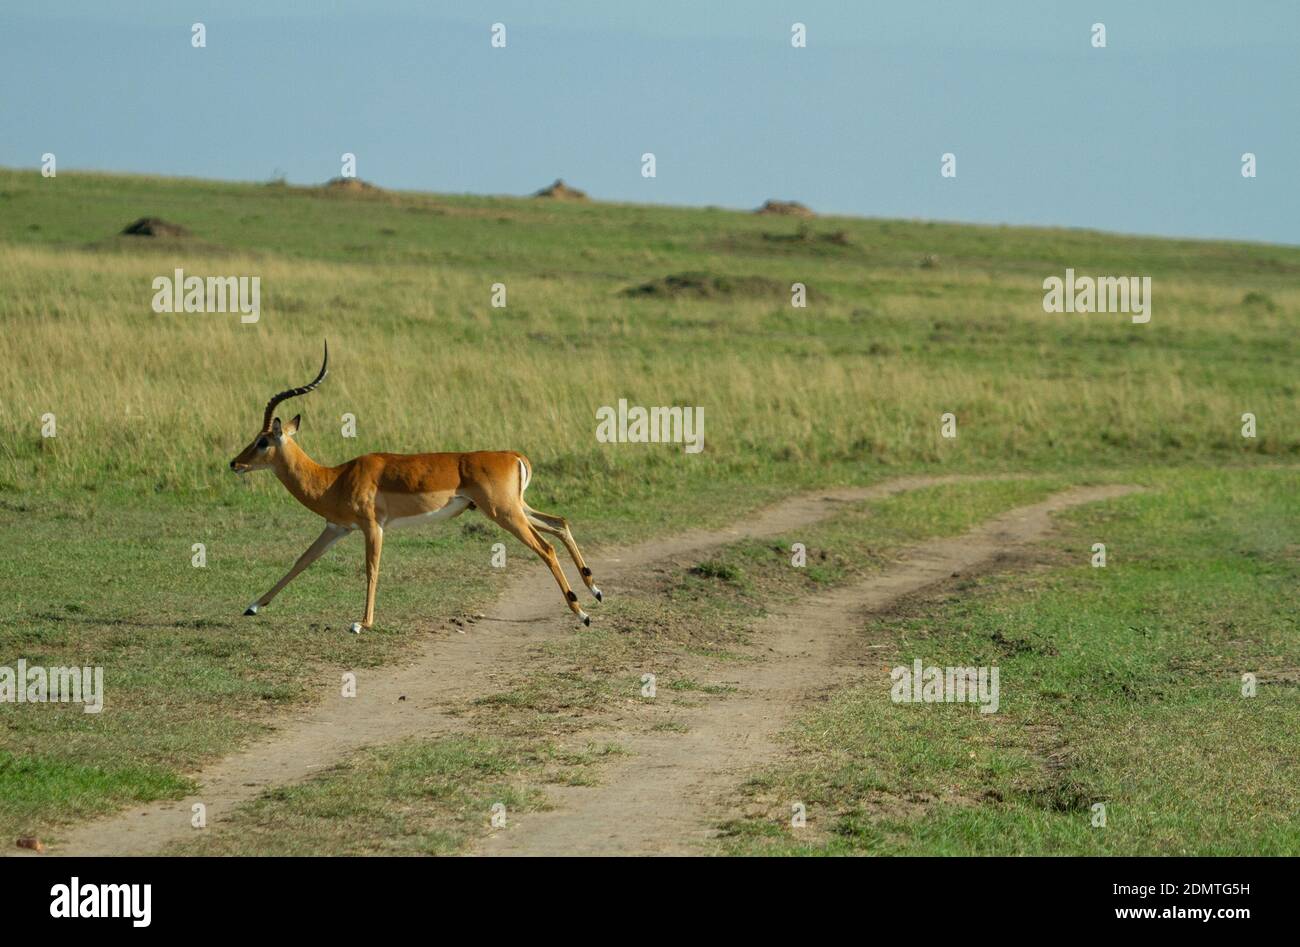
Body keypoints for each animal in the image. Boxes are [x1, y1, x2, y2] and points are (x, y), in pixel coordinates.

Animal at [229, 342, 602, 633]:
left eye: (263, 441)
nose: (235, 463)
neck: (335, 478)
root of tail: (511, 455)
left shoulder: (372, 527)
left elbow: (372, 569)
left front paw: (362, 623)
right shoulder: (336, 527)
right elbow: (301, 560)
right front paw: (252, 606)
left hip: (505, 513)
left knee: (547, 548)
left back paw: (582, 613)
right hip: (515, 509)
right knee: (560, 523)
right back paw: (595, 590)